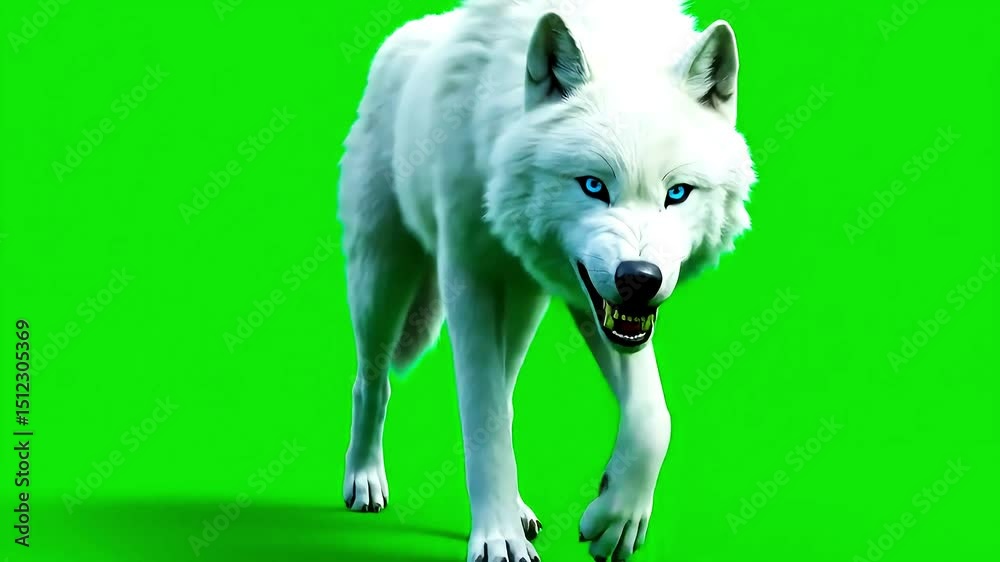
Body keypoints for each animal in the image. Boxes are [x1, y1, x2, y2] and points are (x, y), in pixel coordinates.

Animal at [336, 0, 756, 560]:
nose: (639, 279)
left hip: (524, 305)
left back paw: (519, 508)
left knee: (507, 394)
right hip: (382, 278)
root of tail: (404, 37)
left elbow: (653, 418)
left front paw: (615, 515)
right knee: (372, 381)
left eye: (678, 193)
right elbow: (482, 417)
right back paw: (364, 480)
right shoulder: (469, 276)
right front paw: (496, 539)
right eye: (594, 186)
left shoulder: (596, 302)